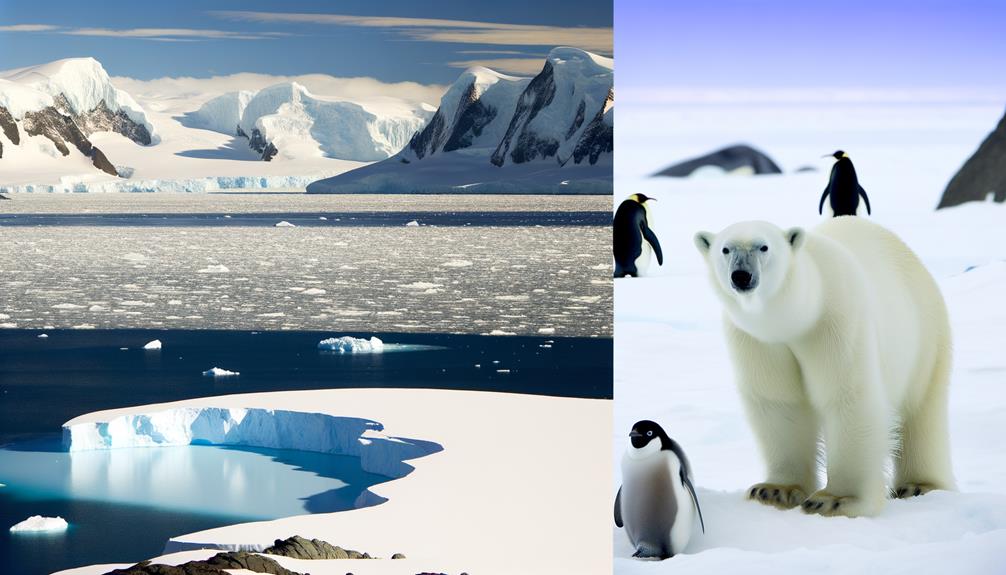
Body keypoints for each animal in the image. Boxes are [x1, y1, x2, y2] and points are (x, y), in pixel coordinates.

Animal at [693, 217, 954, 517]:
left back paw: (919, 485)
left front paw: (835, 500)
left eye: (763, 246)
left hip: (926, 335)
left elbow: (847, 395)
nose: (741, 275)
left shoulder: (835, 321)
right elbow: (779, 401)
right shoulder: (758, 341)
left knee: (922, 410)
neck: (796, 317)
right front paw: (775, 490)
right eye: (725, 249)